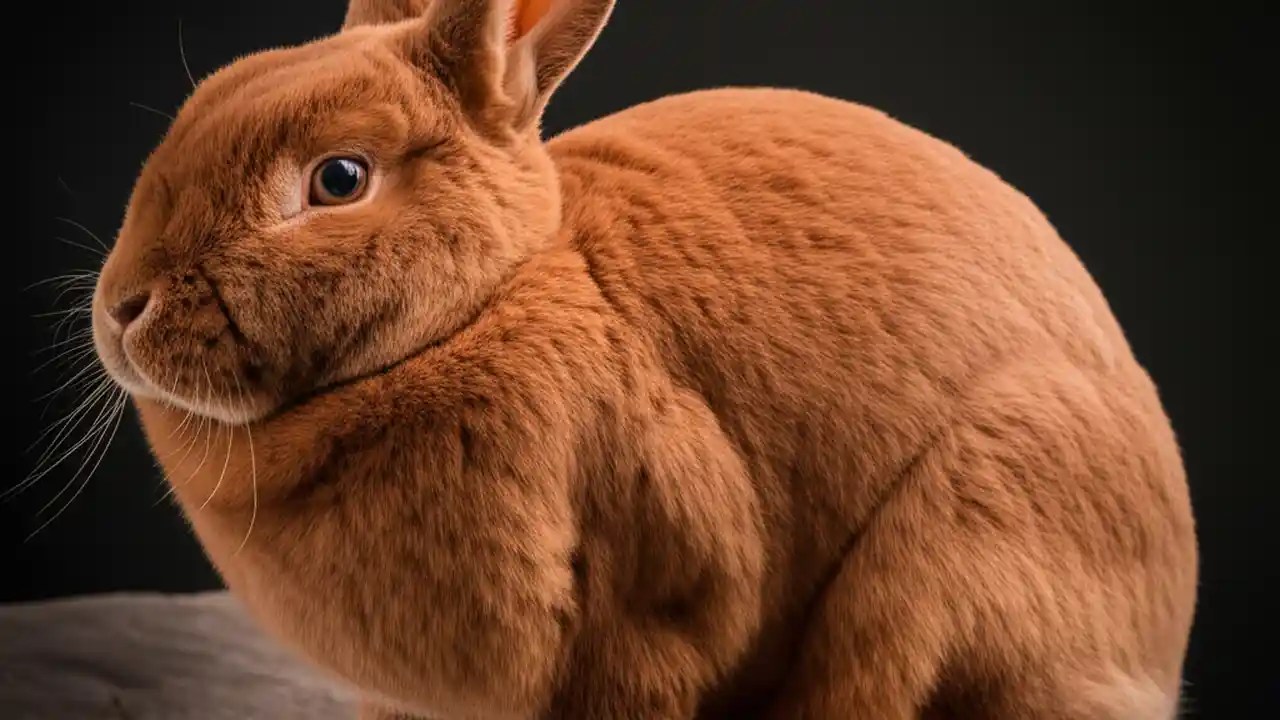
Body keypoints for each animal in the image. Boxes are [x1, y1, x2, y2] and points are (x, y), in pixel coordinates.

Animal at [89, 0, 1198, 717]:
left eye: (338, 179)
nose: (121, 310)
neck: (482, 306)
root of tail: (1164, 636)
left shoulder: (647, 600)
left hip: (964, 552)